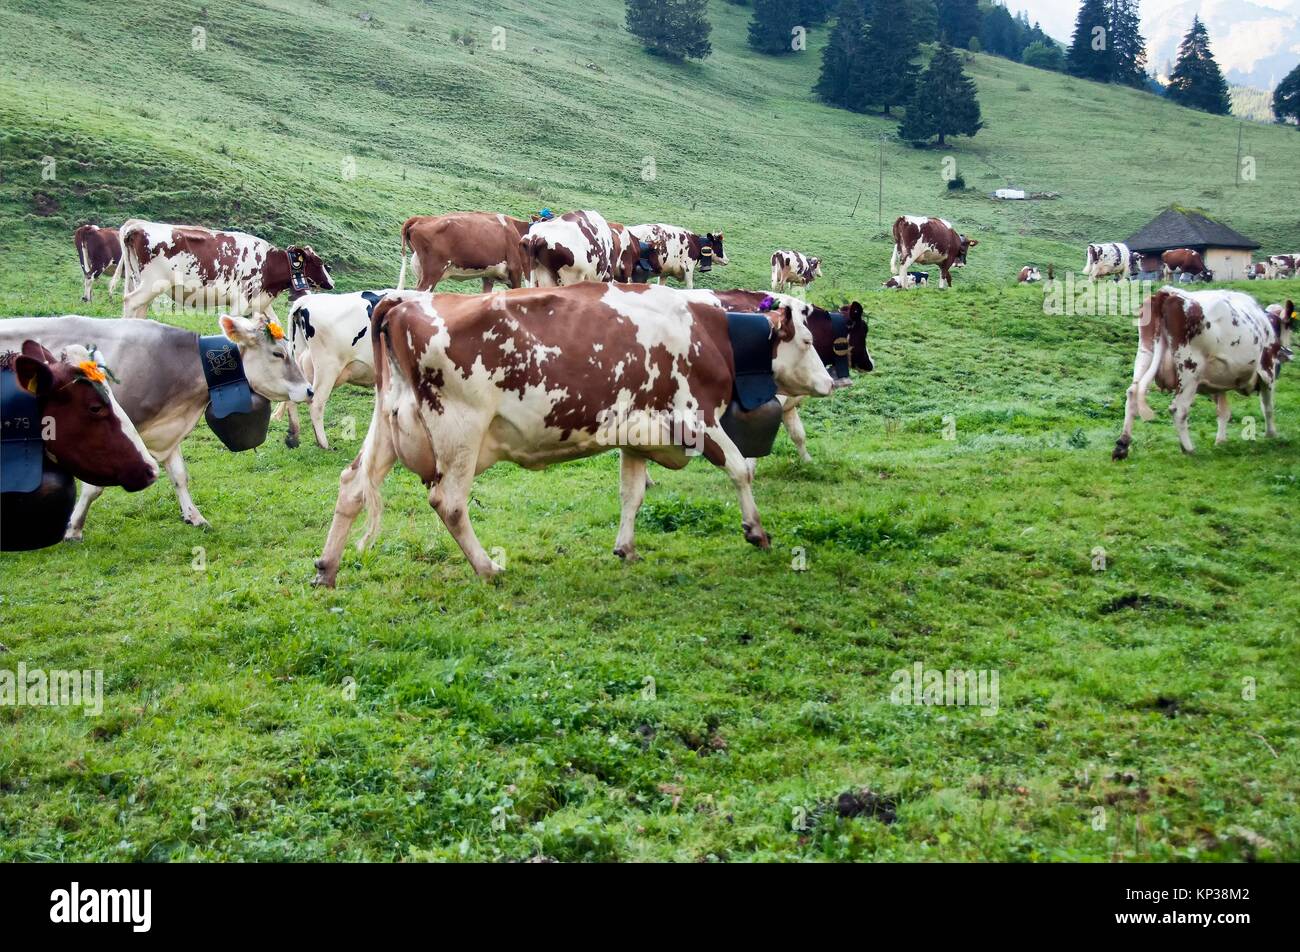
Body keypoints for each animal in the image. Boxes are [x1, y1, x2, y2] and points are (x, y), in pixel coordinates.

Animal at [0, 314, 311, 537]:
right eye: (278, 354)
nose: (309, 389)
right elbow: (93, 487)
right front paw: (73, 528)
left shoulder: (167, 433)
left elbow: (179, 475)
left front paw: (195, 516)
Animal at [111, 220, 333, 320]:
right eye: (319, 261)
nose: (331, 283)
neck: (268, 262)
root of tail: (137, 225)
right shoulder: (241, 300)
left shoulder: (260, 301)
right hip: (151, 283)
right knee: (131, 302)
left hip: (139, 281)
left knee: (139, 308)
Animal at [278, 289, 393, 449]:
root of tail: (307, 300)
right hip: (327, 368)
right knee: (316, 403)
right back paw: (323, 444)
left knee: (293, 397)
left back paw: (293, 438)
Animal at [311, 282, 834, 586]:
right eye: (808, 341)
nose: (830, 382)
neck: (713, 334)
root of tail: (403, 300)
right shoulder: (697, 418)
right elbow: (742, 469)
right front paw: (756, 530)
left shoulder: (638, 432)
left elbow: (632, 493)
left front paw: (626, 548)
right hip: (460, 431)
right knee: (450, 502)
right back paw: (487, 567)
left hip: (387, 425)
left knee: (351, 486)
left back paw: (327, 569)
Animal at [1113, 288, 1295, 460]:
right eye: (1288, 327)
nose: (1289, 353)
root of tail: (1167, 294)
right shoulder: (1268, 371)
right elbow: (1268, 407)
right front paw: (1271, 435)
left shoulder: (1219, 382)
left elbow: (1223, 412)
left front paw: (1220, 441)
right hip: (1190, 370)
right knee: (1178, 409)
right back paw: (1188, 449)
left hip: (1145, 354)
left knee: (1132, 393)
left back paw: (1122, 445)